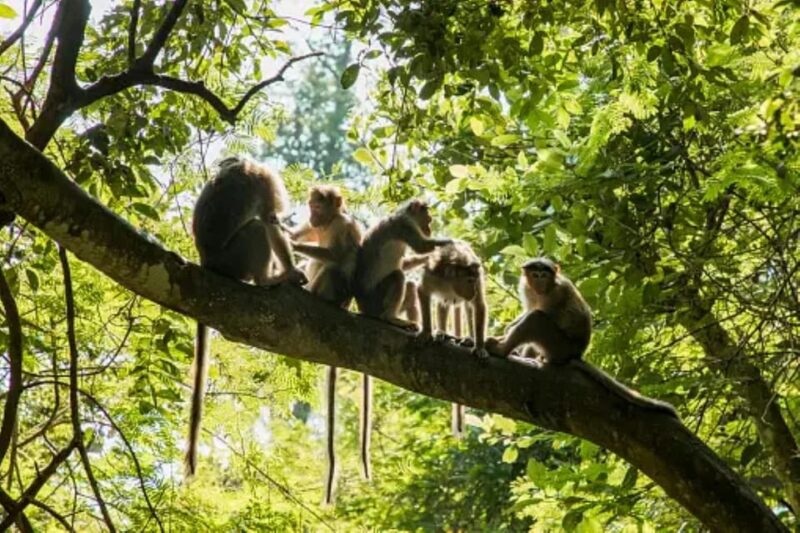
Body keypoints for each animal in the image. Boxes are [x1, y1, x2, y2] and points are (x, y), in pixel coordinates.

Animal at [186, 157, 307, 476]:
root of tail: (206, 262)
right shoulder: (267, 181)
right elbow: (270, 220)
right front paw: (292, 270)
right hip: (234, 260)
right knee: (256, 229)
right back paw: (269, 279)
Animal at [416, 241, 489, 436]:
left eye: (474, 281)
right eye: (468, 281)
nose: (473, 290)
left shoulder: (479, 277)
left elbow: (478, 306)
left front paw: (479, 346)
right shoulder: (432, 275)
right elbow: (423, 292)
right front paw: (427, 331)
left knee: (469, 307)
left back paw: (470, 339)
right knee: (444, 303)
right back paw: (441, 332)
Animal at [486, 257, 677, 417]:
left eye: (544, 275)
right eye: (535, 274)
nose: (540, 281)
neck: (543, 290)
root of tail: (576, 354)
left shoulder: (558, 292)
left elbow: (545, 314)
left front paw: (507, 333)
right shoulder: (527, 288)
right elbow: (528, 309)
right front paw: (508, 329)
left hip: (559, 347)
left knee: (537, 320)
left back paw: (502, 350)